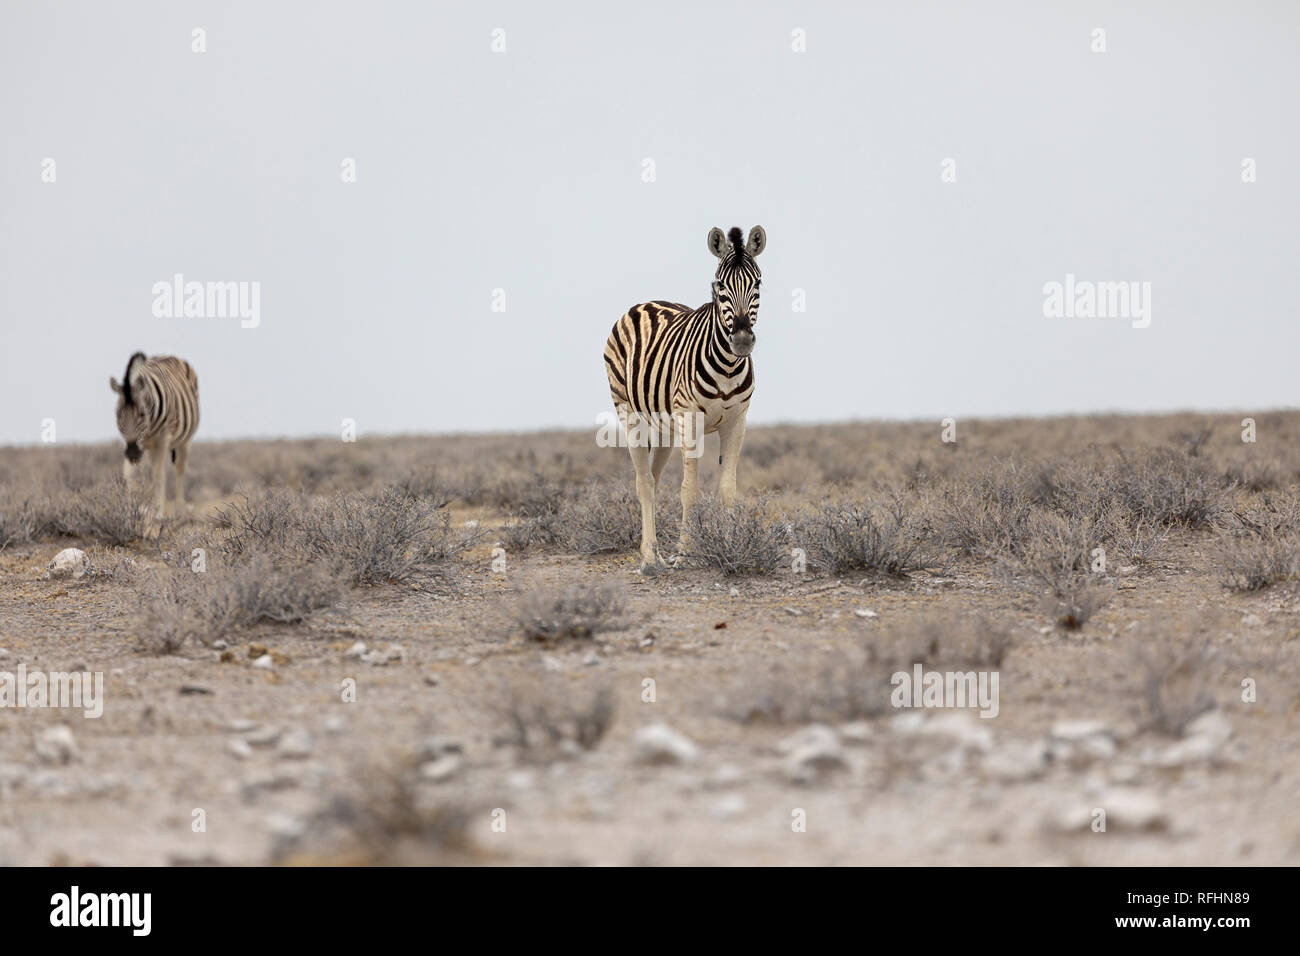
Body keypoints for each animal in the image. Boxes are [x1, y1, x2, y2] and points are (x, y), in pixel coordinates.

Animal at [108, 352, 200, 518]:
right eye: (118, 415)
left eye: (142, 413)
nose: (132, 452)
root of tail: (169, 355)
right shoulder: (133, 442)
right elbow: (129, 475)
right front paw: (130, 509)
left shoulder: (162, 438)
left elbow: (159, 475)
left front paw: (159, 513)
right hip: (150, 446)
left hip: (185, 440)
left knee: (180, 469)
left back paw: (180, 508)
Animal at [603, 225, 766, 573]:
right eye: (719, 285)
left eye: (757, 283)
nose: (742, 340)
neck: (727, 366)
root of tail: (646, 302)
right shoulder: (690, 419)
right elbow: (689, 490)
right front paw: (687, 552)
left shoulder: (737, 421)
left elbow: (728, 490)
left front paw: (730, 549)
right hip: (628, 412)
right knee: (644, 482)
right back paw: (650, 558)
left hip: (664, 425)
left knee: (653, 477)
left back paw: (654, 552)